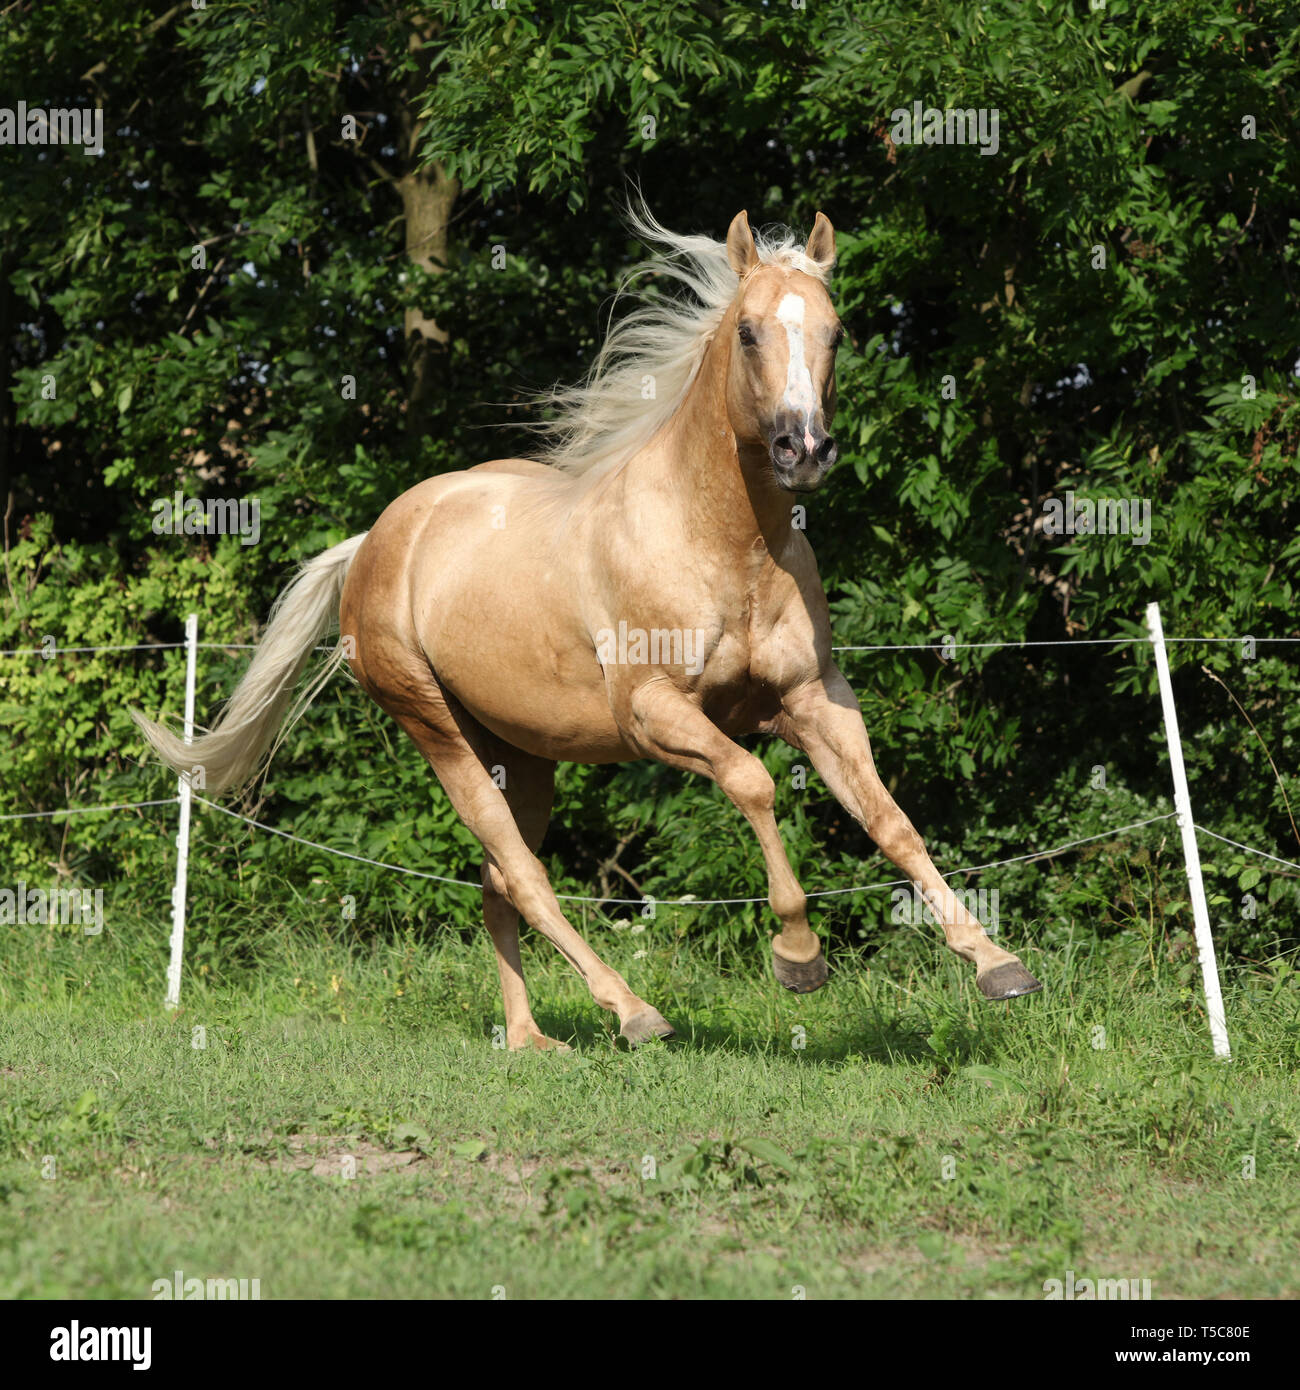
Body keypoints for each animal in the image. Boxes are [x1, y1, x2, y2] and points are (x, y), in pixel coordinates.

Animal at [136, 205, 1042, 1049]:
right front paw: (798, 956)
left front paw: (996, 964)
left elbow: (890, 819)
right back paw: (633, 1013)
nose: (804, 449)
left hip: (520, 756)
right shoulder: (656, 715)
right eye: (748, 331)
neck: (726, 544)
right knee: (526, 878)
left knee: (498, 884)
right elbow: (754, 782)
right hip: (438, 732)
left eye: (837, 332)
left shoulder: (815, 701)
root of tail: (376, 541)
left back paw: (529, 1039)